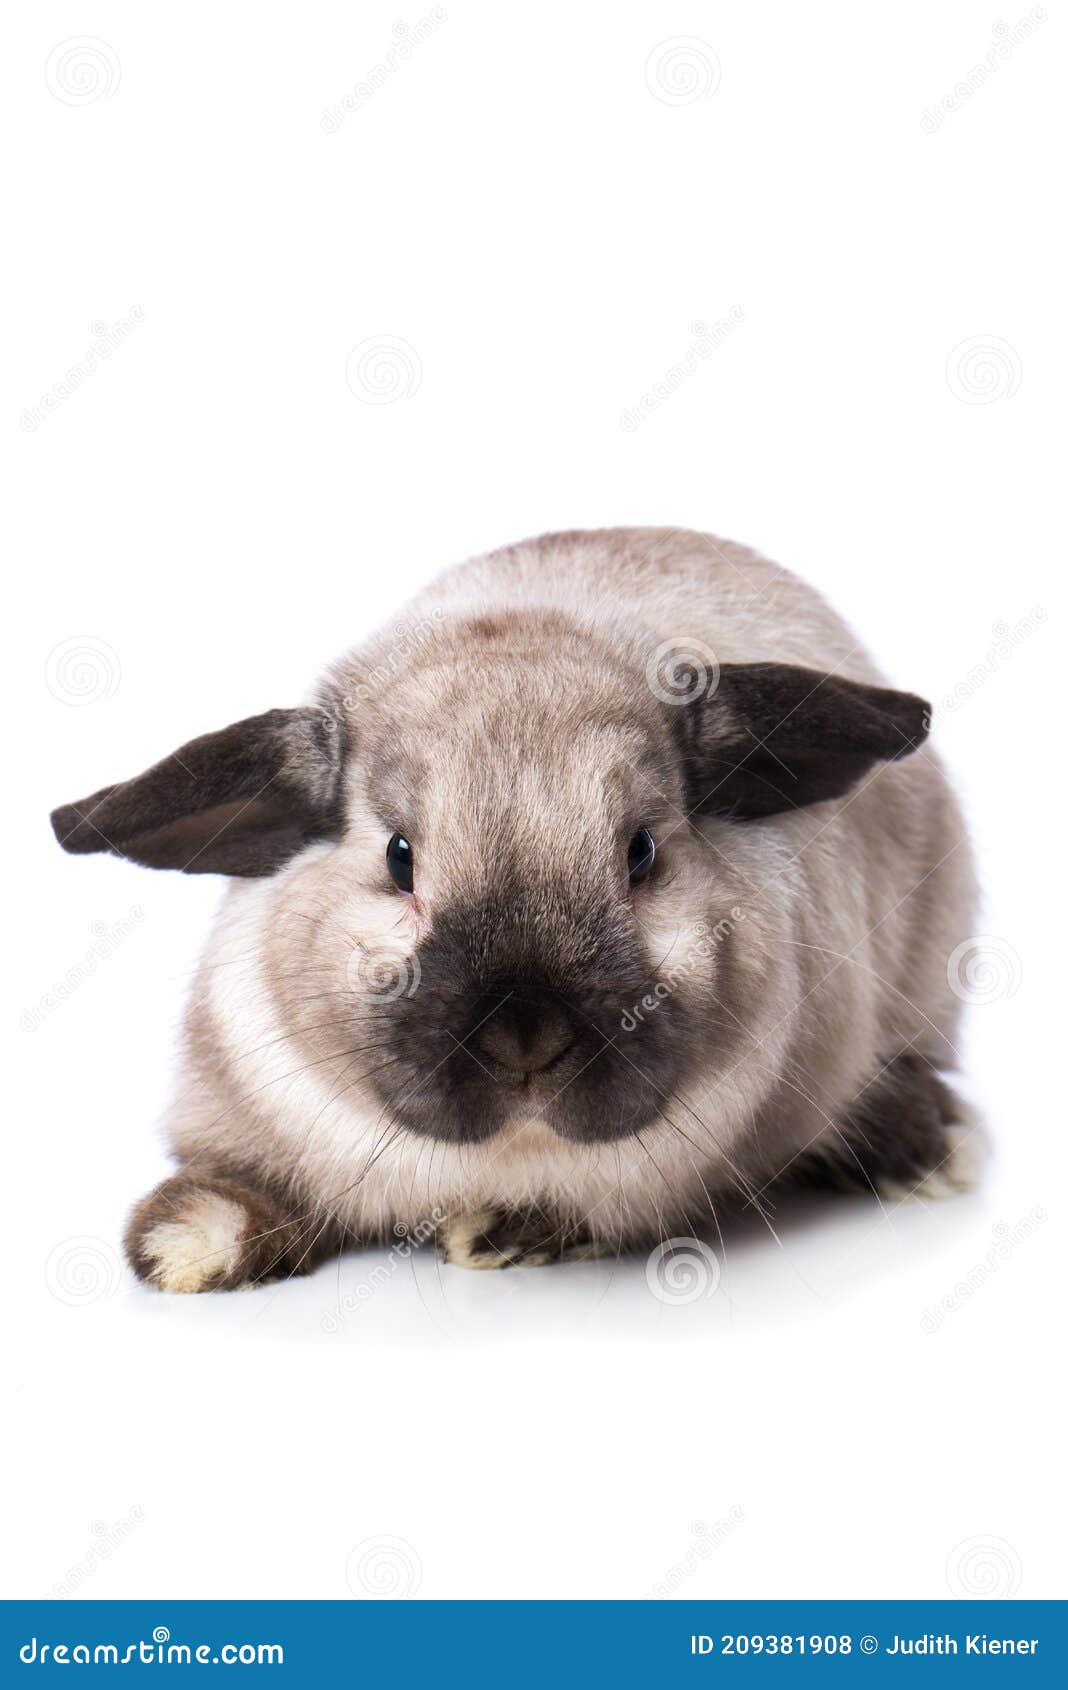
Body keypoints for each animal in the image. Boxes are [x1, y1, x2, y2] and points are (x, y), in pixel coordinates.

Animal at [51, 527, 981, 1290]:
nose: (525, 1039)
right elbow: (235, 1186)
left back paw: (928, 1154)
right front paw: (186, 1243)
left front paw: (496, 1235)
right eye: (399, 858)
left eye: (642, 852)